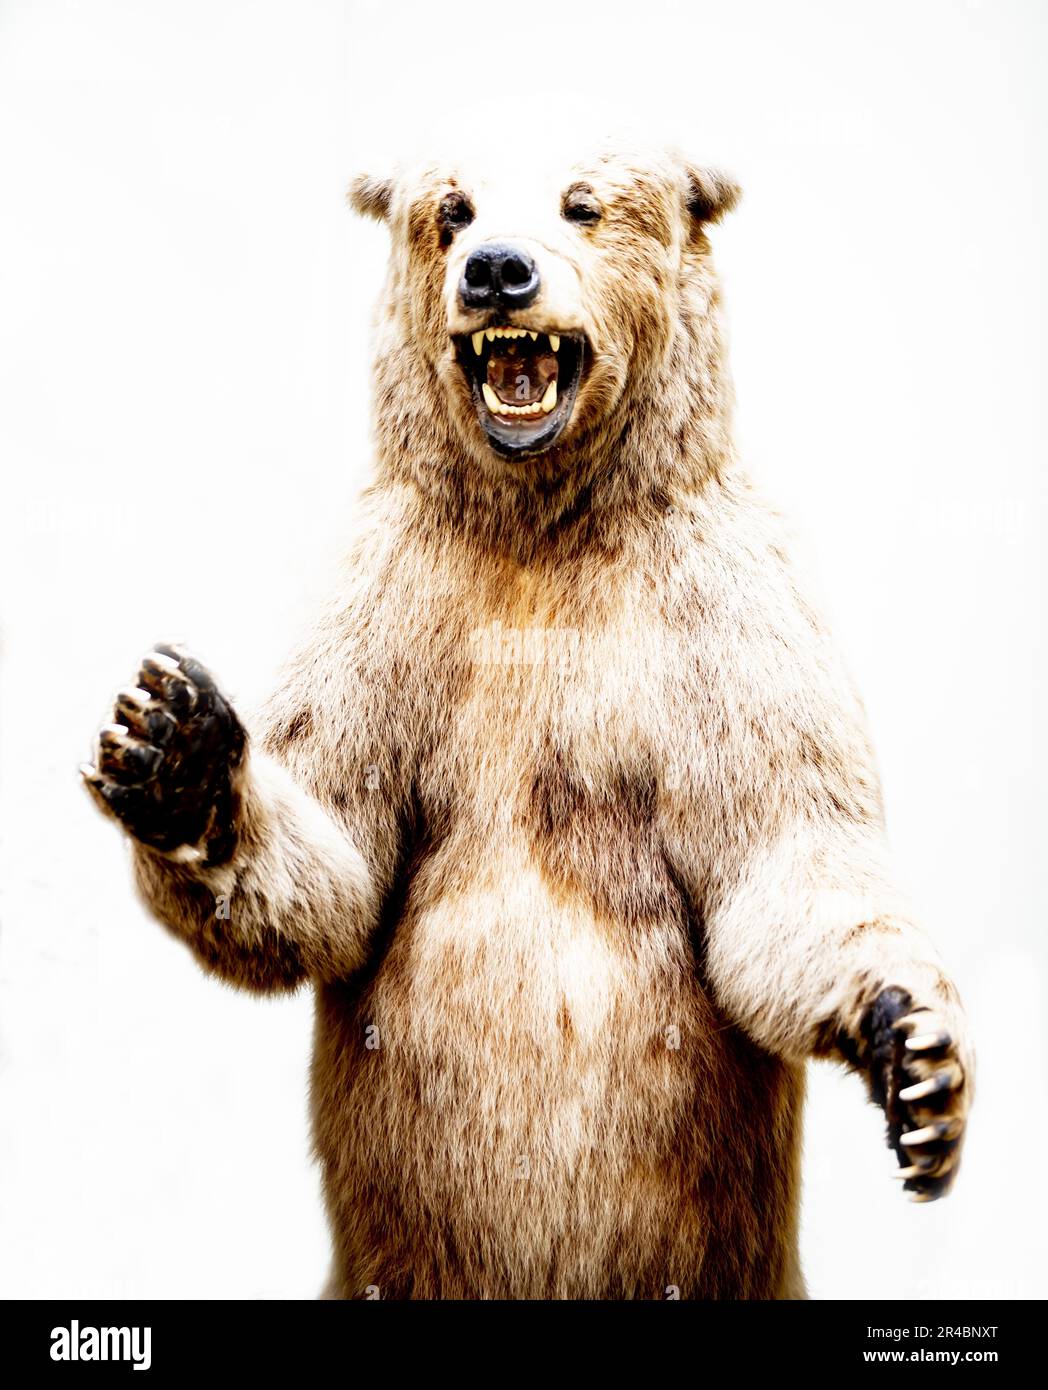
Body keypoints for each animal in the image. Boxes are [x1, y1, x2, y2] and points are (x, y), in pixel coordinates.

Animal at [83, 142, 971, 1300]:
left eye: (583, 204)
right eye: (450, 209)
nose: (497, 270)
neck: (543, 524)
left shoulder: (729, 611)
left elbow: (790, 854)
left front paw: (918, 1060)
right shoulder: (385, 596)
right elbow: (331, 855)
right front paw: (175, 749)